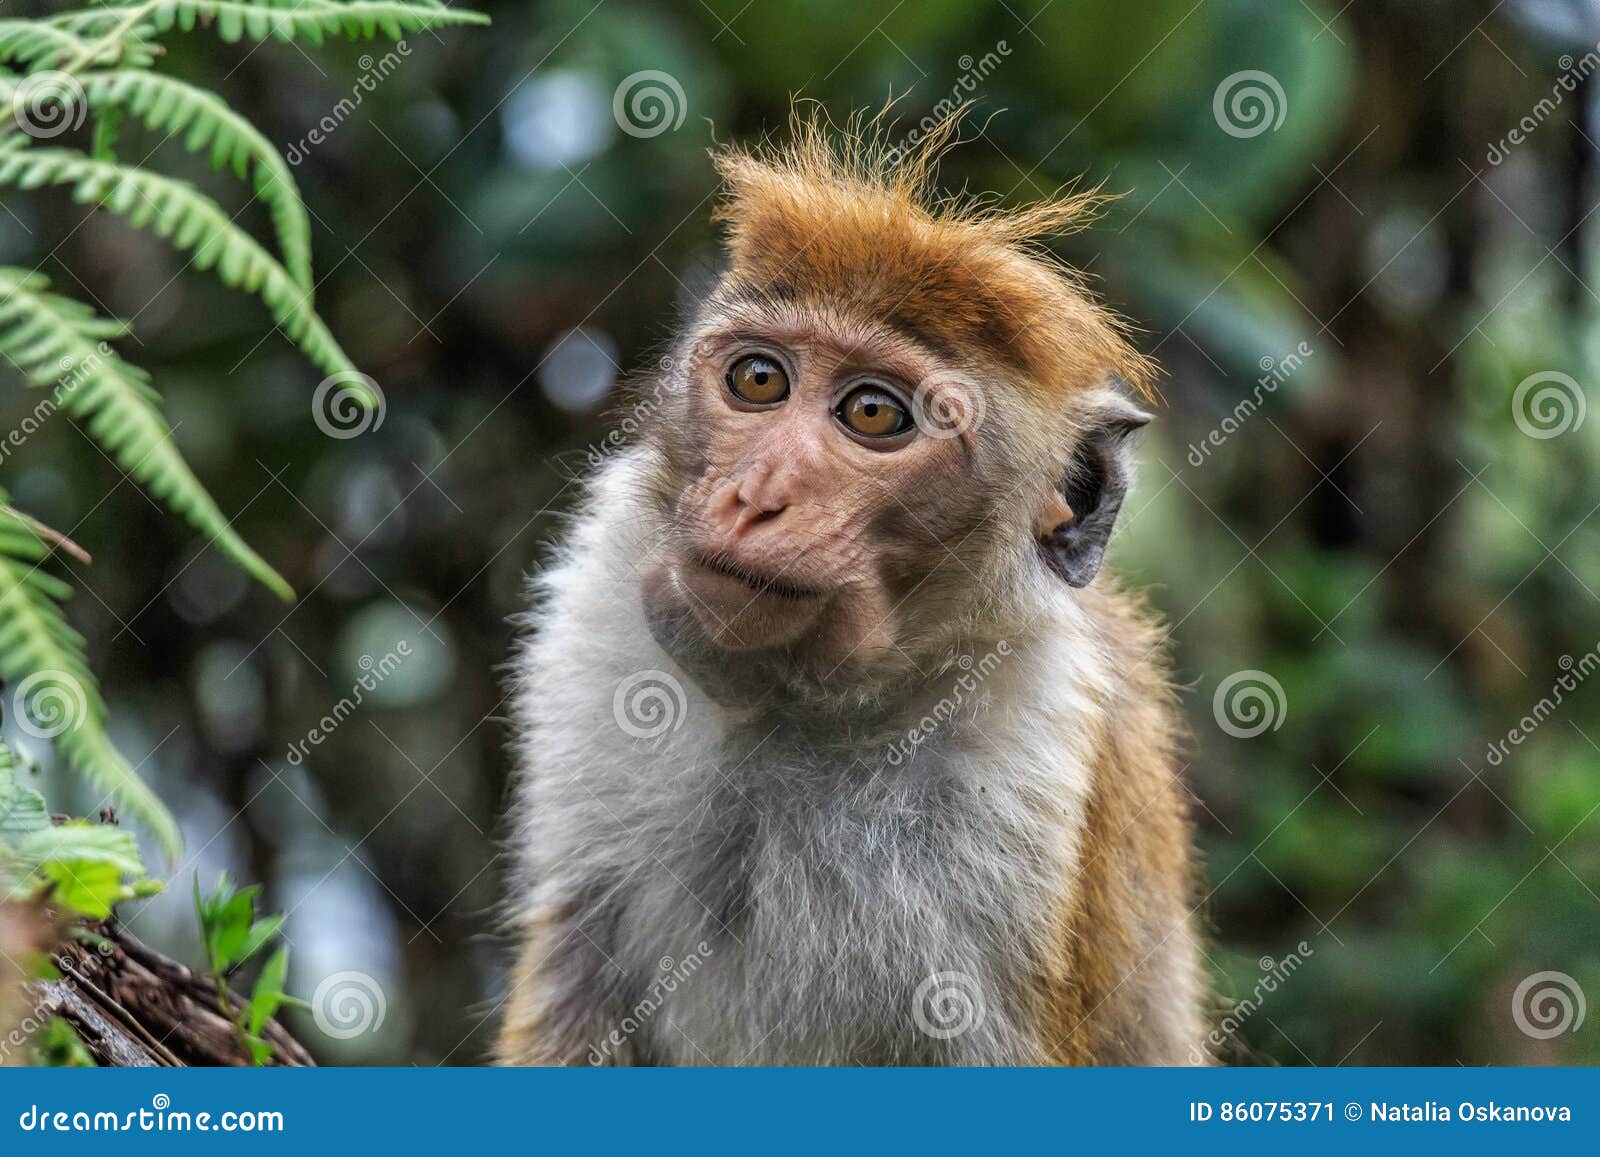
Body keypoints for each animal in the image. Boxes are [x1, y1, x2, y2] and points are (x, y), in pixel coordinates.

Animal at [497, 110, 1208, 1066]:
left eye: (873, 414)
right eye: (758, 379)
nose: (756, 495)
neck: (799, 711)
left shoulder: (1028, 767)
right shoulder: (597, 614)